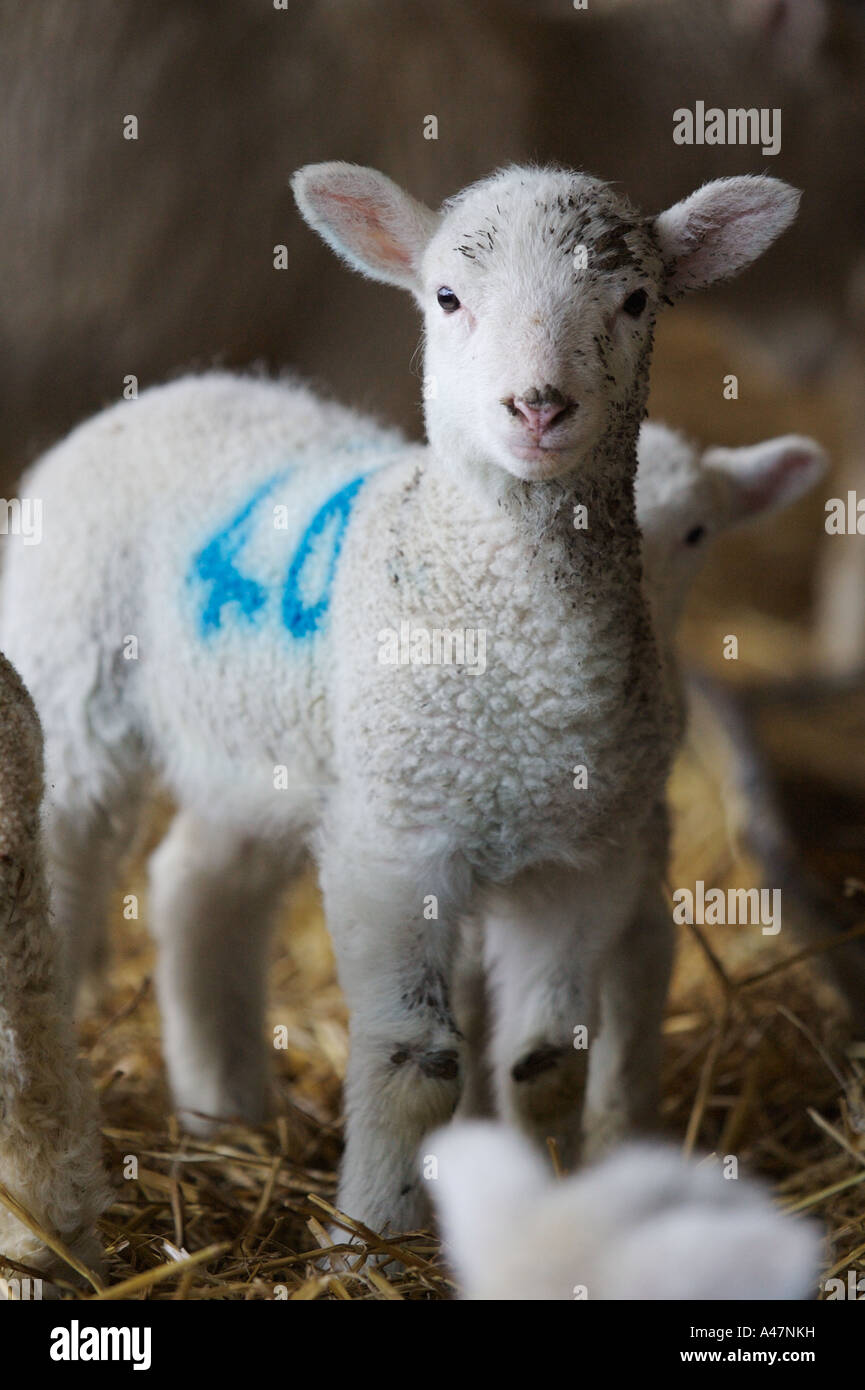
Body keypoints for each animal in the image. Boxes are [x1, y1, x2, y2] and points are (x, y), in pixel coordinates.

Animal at [0, 162, 799, 1237]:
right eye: (448, 298)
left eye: (634, 300)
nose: (537, 408)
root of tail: (178, 387)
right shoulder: (393, 846)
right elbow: (419, 1065)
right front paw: (371, 1238)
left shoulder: (580, 861)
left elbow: (544, 1068)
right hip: (74, 682)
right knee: (72, 865)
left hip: (269, 747)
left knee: (198, 886)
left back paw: (226, 1111)